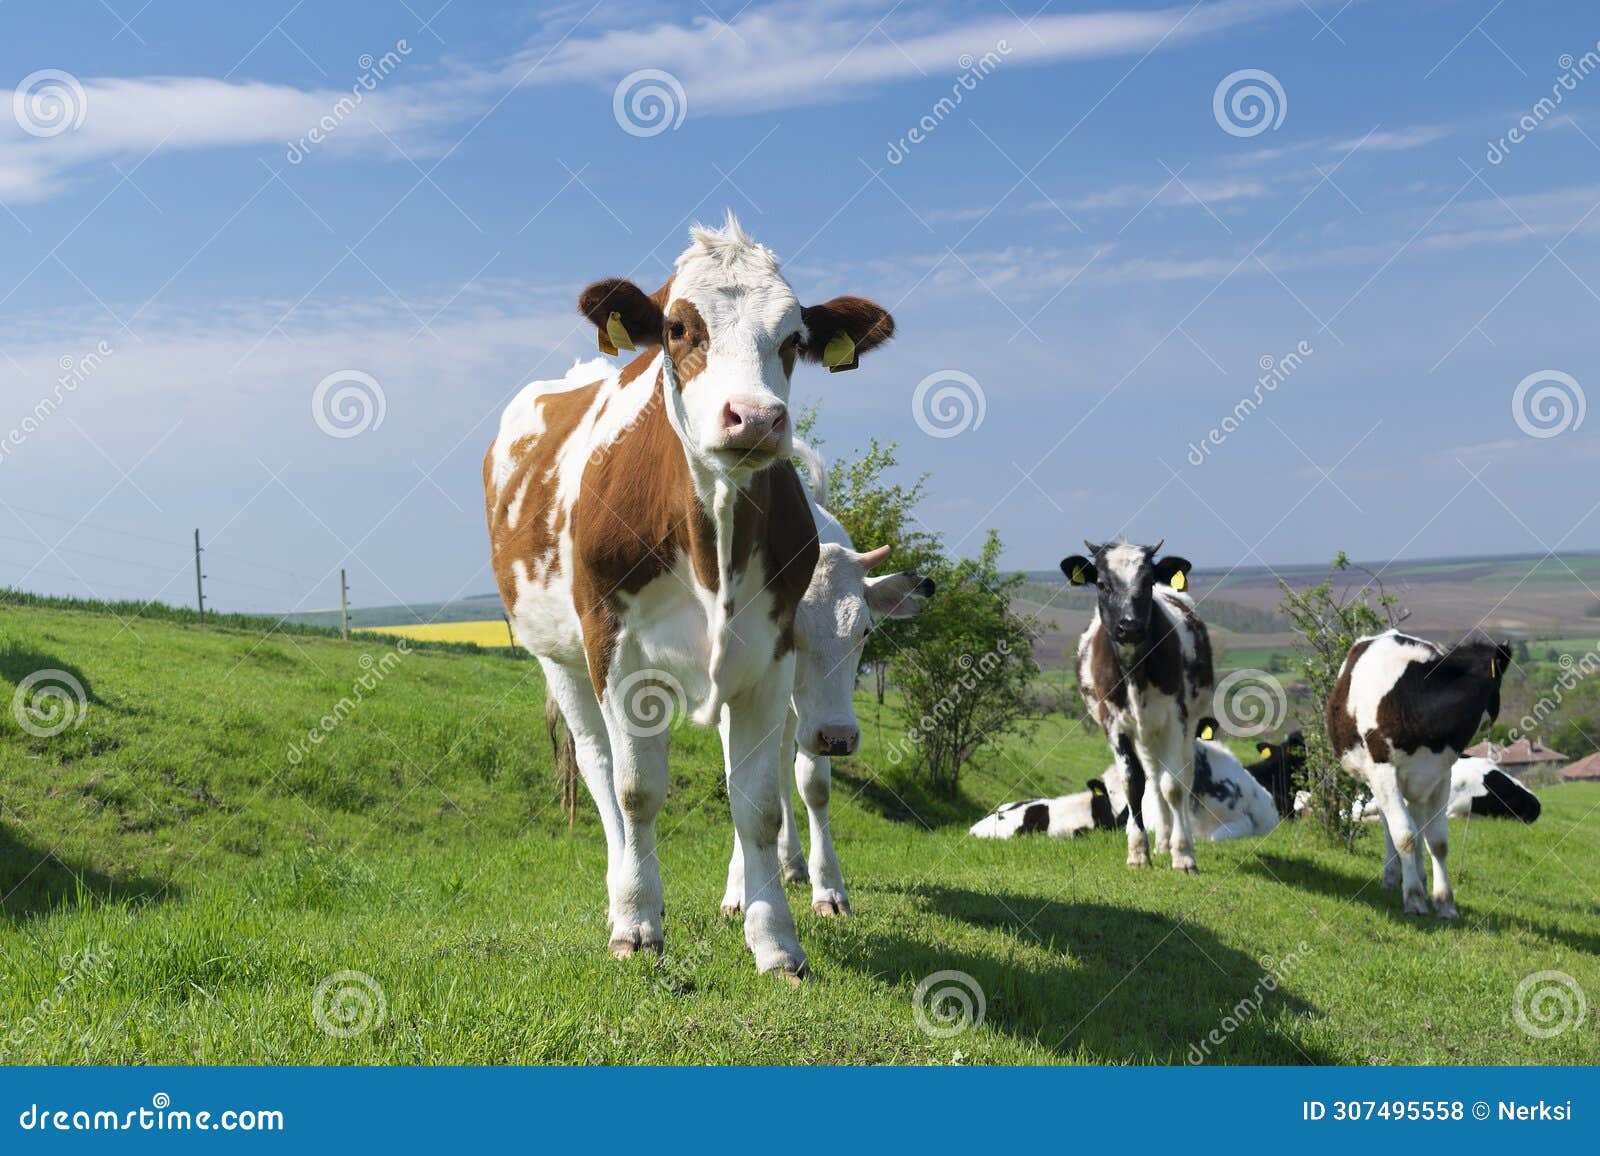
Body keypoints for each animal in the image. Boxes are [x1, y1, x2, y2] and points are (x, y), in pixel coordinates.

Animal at [484, 214, 893, 978]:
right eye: (679, 328)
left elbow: (759, 800)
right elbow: (637, 790)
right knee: (600, 770)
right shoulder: (617, 650)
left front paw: (775, 938)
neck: (712, 549)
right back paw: (620, 886)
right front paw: (637, 922)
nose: (755, 419)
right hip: (561, 657)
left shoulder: (769, 656)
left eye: (794, 338)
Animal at [722, 441, 932, 917]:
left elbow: (813, 786)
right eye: (788, 630)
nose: (839, 737)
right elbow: (739, 780)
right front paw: (738, 889)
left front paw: (828, 886)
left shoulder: (819, 717)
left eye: (865, 631)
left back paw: (792, 862)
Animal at [1060, 540, 1214, 872]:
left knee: (1180, 775)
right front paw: (1138, 851)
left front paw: (1183, 855)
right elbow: (1134, 784)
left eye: (1147, 583)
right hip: (1144, 735)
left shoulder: (1175, 718)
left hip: (1182, 725)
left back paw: (1177, 841)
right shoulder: (1113, 724)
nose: (1129, 627)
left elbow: (1174, 785)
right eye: (1102, 584)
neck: (1134, 673)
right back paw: (1162, 842)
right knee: (1153, 780)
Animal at [1327, 630, 1511, 917]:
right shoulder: (1383, 771)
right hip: (1377, 778)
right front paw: (1413, 898)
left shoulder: (1441, 775)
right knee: (1392, 824)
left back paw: (1421, 880)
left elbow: (1437, 841)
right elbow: (1404, 836)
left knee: (1415, 820)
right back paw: (1395, 878)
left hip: (1416, 783)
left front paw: (1444, 902)